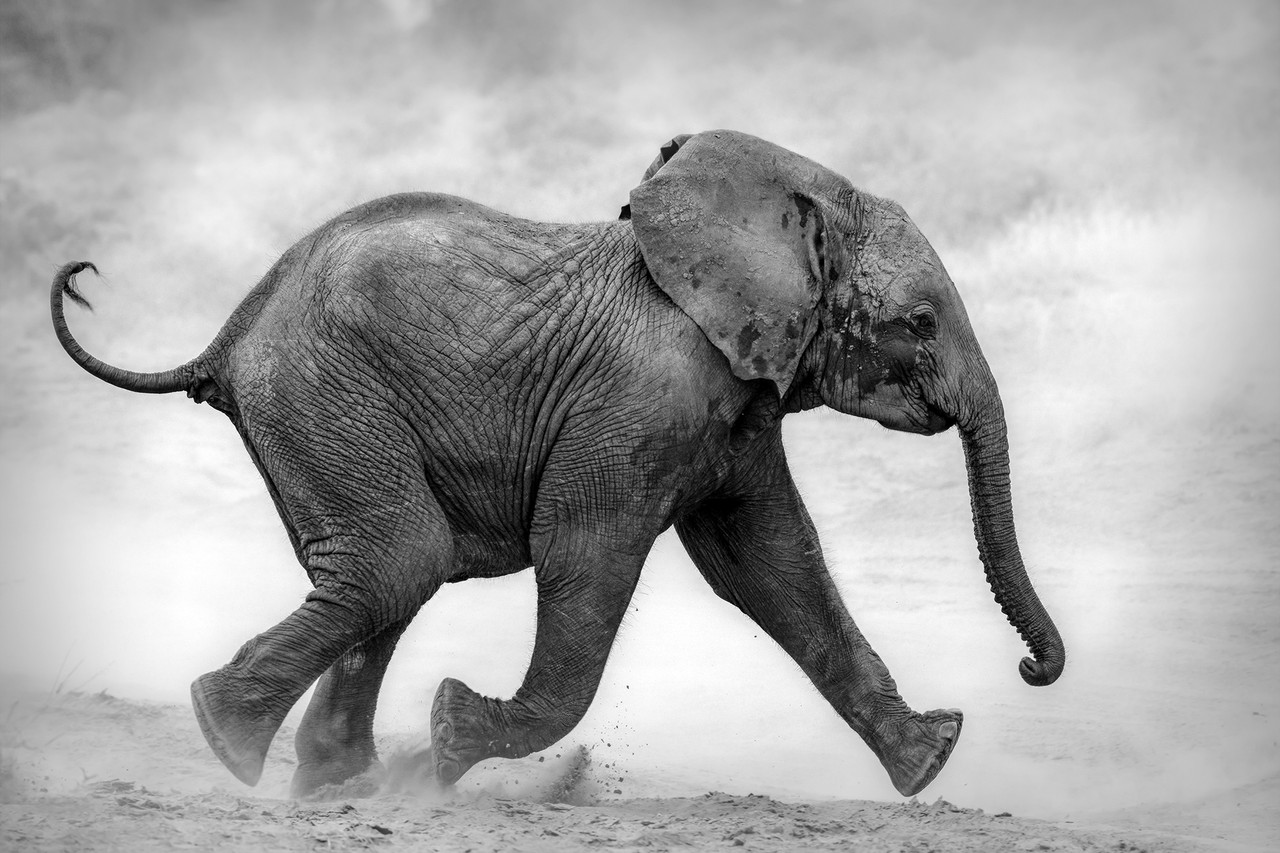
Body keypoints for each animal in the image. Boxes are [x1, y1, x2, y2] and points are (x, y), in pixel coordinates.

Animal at [49, 129, 1064, 800]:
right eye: (920, 322)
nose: (1030, 670)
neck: (795, 199)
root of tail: (230, 330)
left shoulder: (736, 400)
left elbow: (774, 564)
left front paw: (930, 758)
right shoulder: (645, 393)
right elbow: (587, 553)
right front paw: (449, 736)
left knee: (388, 575)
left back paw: (333, 785)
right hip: (322, 394)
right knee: (399, 562)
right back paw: (236, 743)